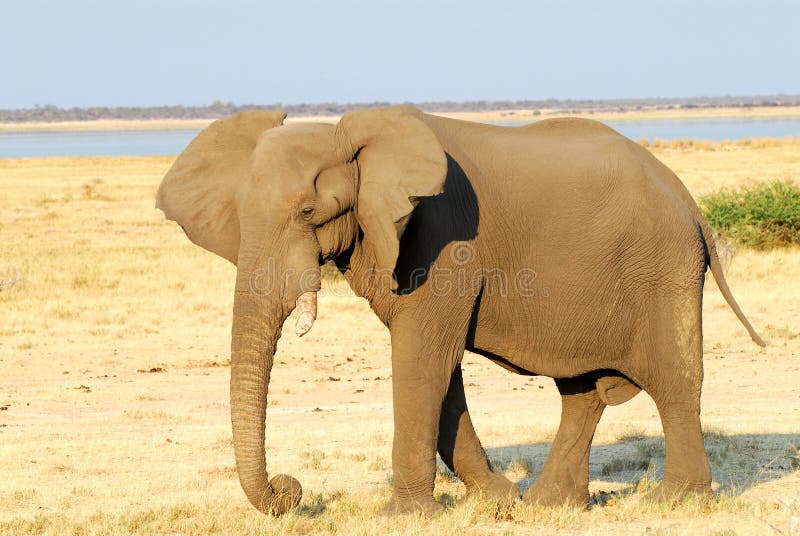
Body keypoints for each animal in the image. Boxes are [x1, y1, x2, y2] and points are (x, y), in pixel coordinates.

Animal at [155, 105, 765, 516]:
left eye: (309, 211)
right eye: (239, 214)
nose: (291, 489)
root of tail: (687, 197)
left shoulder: (443, 237)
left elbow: (422, 356)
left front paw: (403, 516)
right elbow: (438, 367)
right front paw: (497, 499)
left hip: (663, 267)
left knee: (672, 379)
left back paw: (674, 502)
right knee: (582, 392)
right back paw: (545, 504)